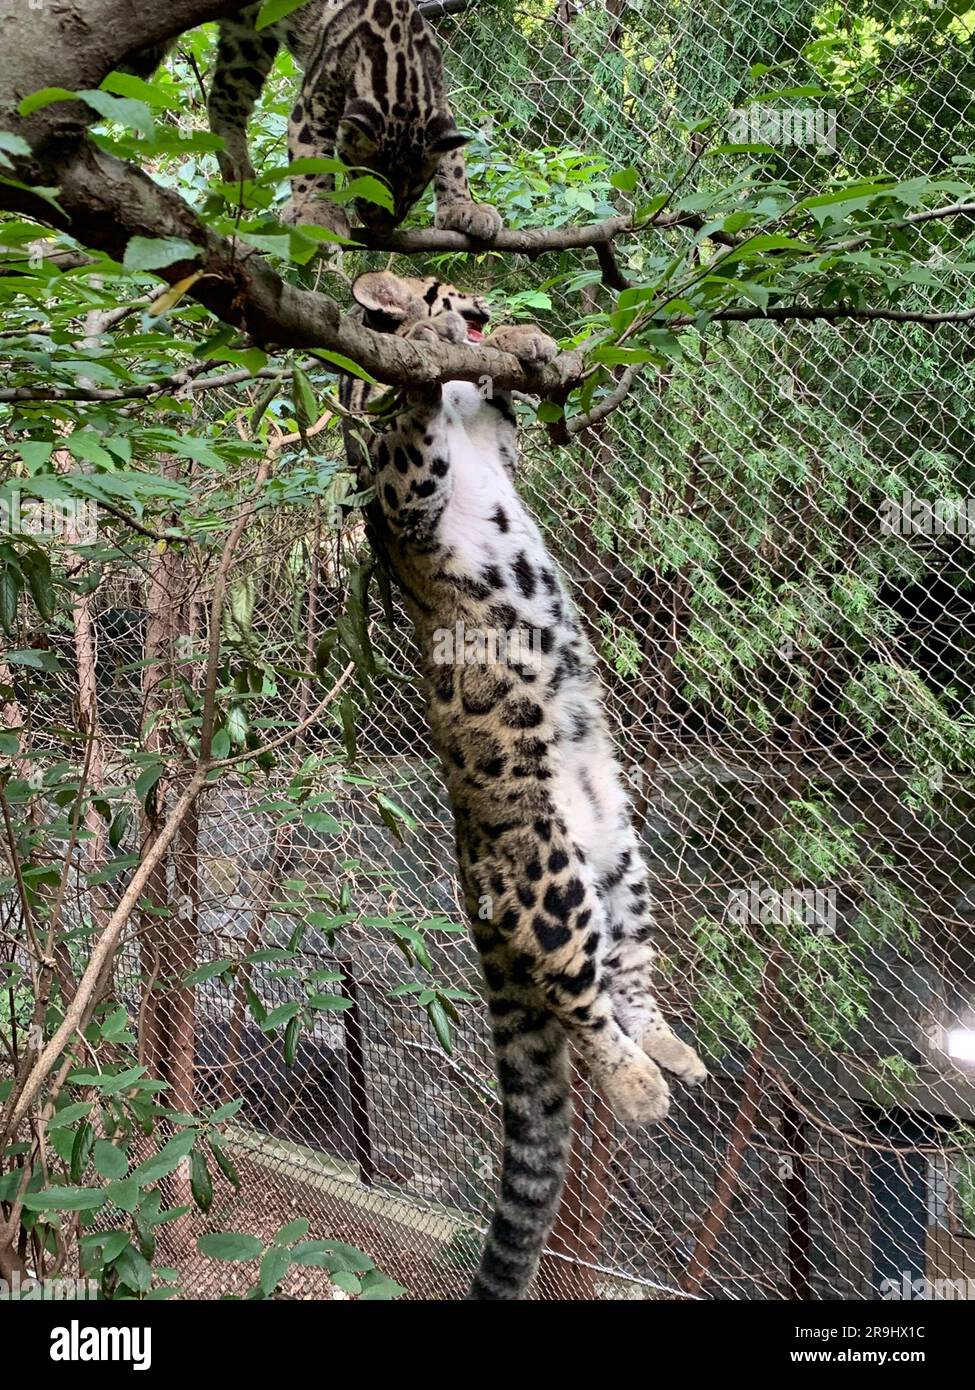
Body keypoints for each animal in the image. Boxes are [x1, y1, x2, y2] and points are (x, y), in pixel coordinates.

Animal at [340, 270, 708, 1301]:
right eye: (438, 283)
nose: (472, 302)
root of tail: (469, 860)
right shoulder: (400, 490)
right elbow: (403, 420)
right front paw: (434, 350)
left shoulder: (498, 445)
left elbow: (506, 412)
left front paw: (523, 339)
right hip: (545, 875)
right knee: (576, 998)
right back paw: (639, 1089)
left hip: (619, 857)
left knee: (625, 975)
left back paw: (669, 1051)